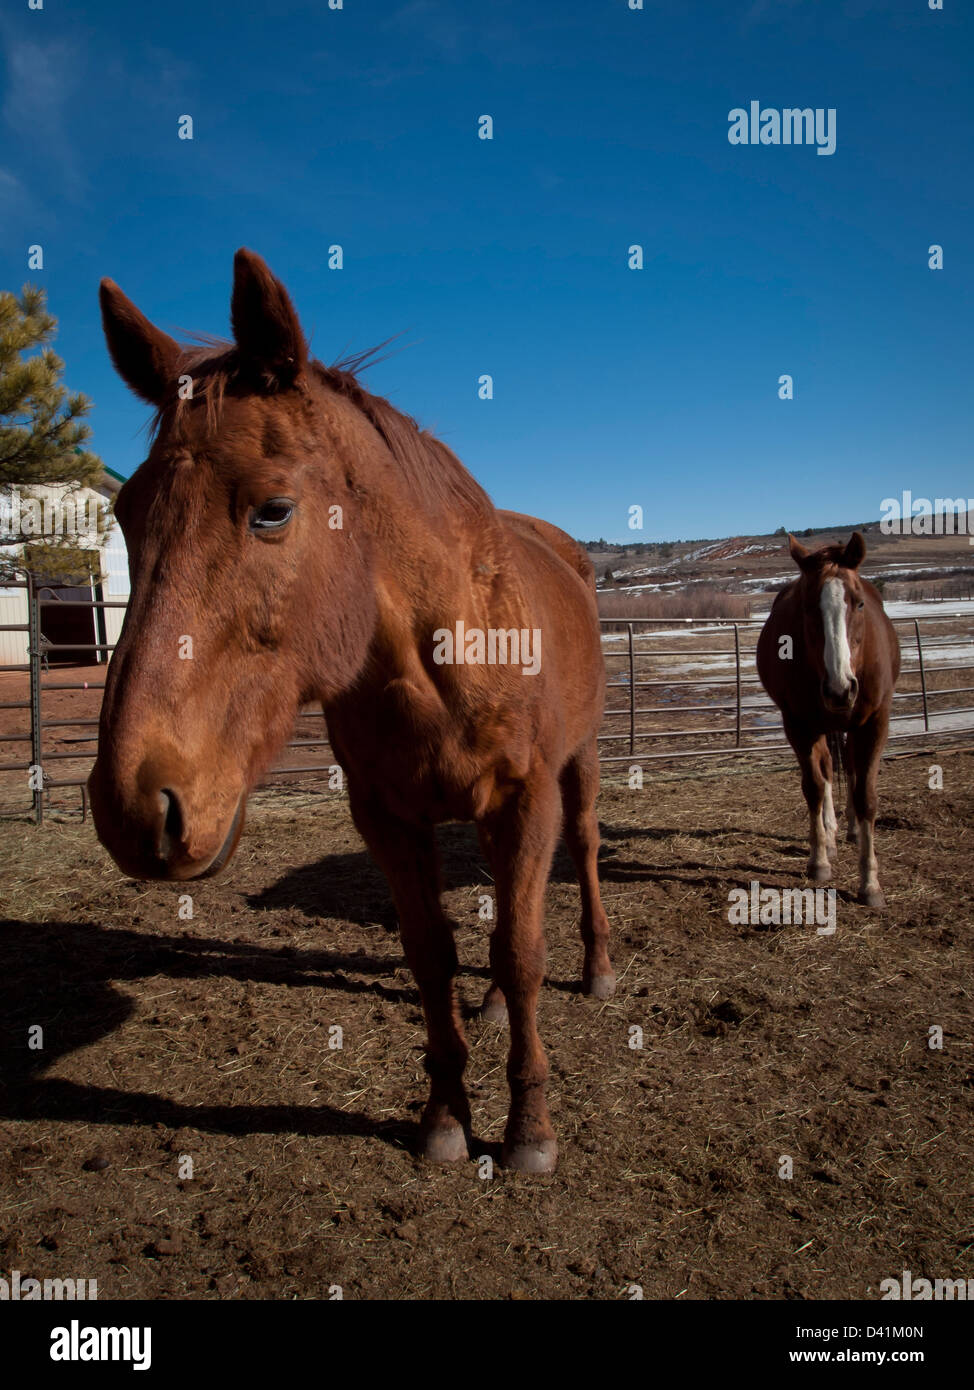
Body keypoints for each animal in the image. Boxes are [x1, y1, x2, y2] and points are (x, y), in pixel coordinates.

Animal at [88, 248, 615, 1174]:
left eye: (273, 510)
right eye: (125, 511)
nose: (133, 806)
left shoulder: (526, 802)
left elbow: (522, 952)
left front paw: (529, 1128)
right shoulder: (387, 818)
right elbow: (433, 956)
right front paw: (444, 1116)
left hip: (577, 765)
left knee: (581, 853)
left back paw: (598, 968)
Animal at [756, 532, 900, 909]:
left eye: (859, 603)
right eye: (808, 607)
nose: (840, 689)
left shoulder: (875, 722)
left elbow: (866, 795)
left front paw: (870, 883)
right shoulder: (798, 724)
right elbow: (815, 787)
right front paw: (819, 859)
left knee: (848, 767)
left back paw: (852, 830)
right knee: (827, 770)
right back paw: (832, 834)